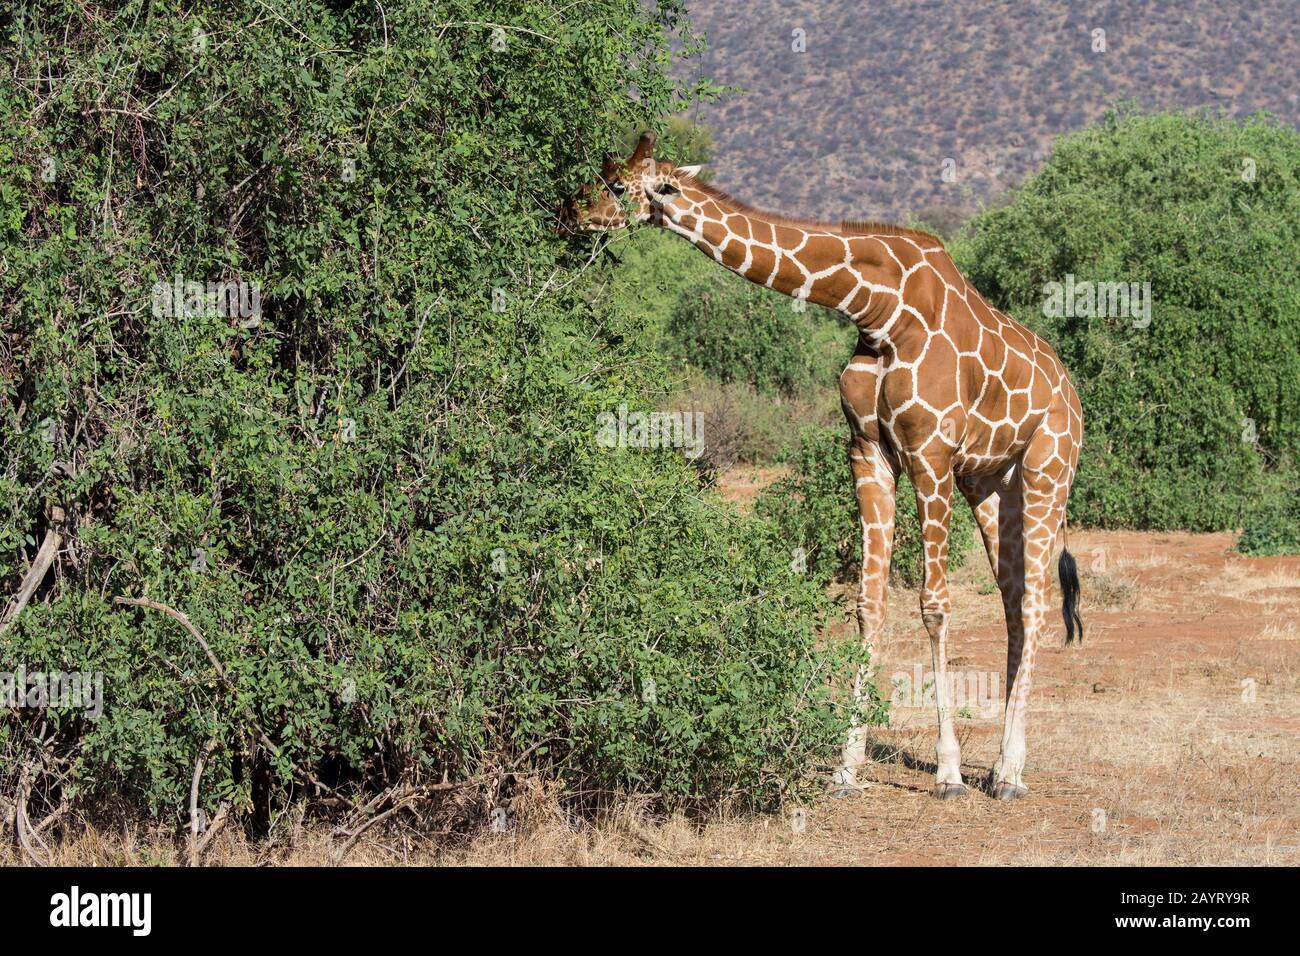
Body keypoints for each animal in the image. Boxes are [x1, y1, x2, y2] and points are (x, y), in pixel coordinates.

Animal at [563, 132, 1084, 800]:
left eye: (618, 184)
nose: (572, 210)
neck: (879, 310)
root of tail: (1073, 394)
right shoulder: (869, 452)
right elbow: (868, 603)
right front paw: (846, 766)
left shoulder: (931, 453)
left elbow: (934, 605)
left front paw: (945, 771)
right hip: (991, 484)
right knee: (1016, 598)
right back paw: (997, 767)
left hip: (1048, 471)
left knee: (1037, 600)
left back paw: (1012, 773)